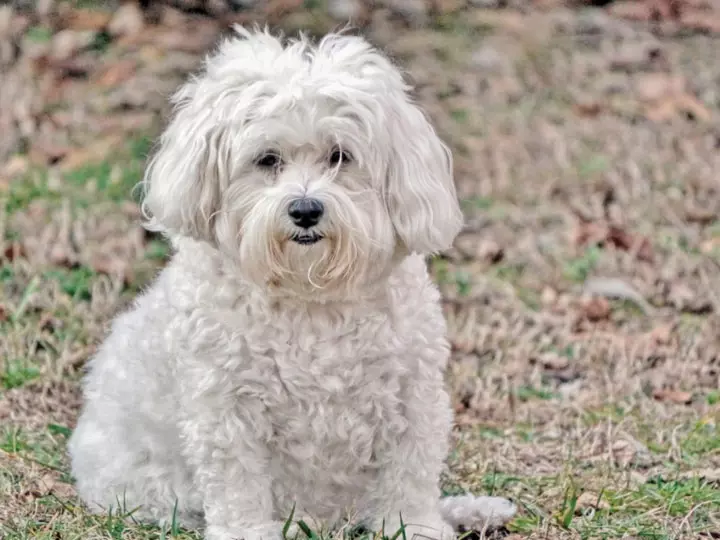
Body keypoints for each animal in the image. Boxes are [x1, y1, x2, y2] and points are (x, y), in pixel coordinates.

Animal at [67, 26, 516, 540]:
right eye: (267, 160)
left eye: (340, 157)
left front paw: (417, 527)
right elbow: (238, 486)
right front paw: (248, 532)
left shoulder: (412, 400)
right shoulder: (226, 413)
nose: (305, 210)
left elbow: (410, 479)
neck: (310, 291)